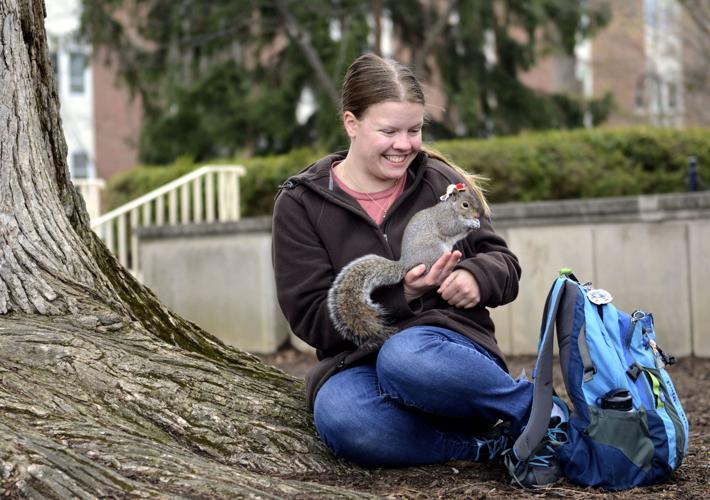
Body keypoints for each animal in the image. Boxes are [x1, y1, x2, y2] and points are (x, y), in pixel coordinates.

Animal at [327, 183, 481, 346]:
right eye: (465, 204)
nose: (478, 214)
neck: (451, 208)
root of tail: (407, 262)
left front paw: (476, 224)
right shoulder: (444, 219)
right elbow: (452, 228)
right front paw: (469, 223)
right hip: (435, 249)